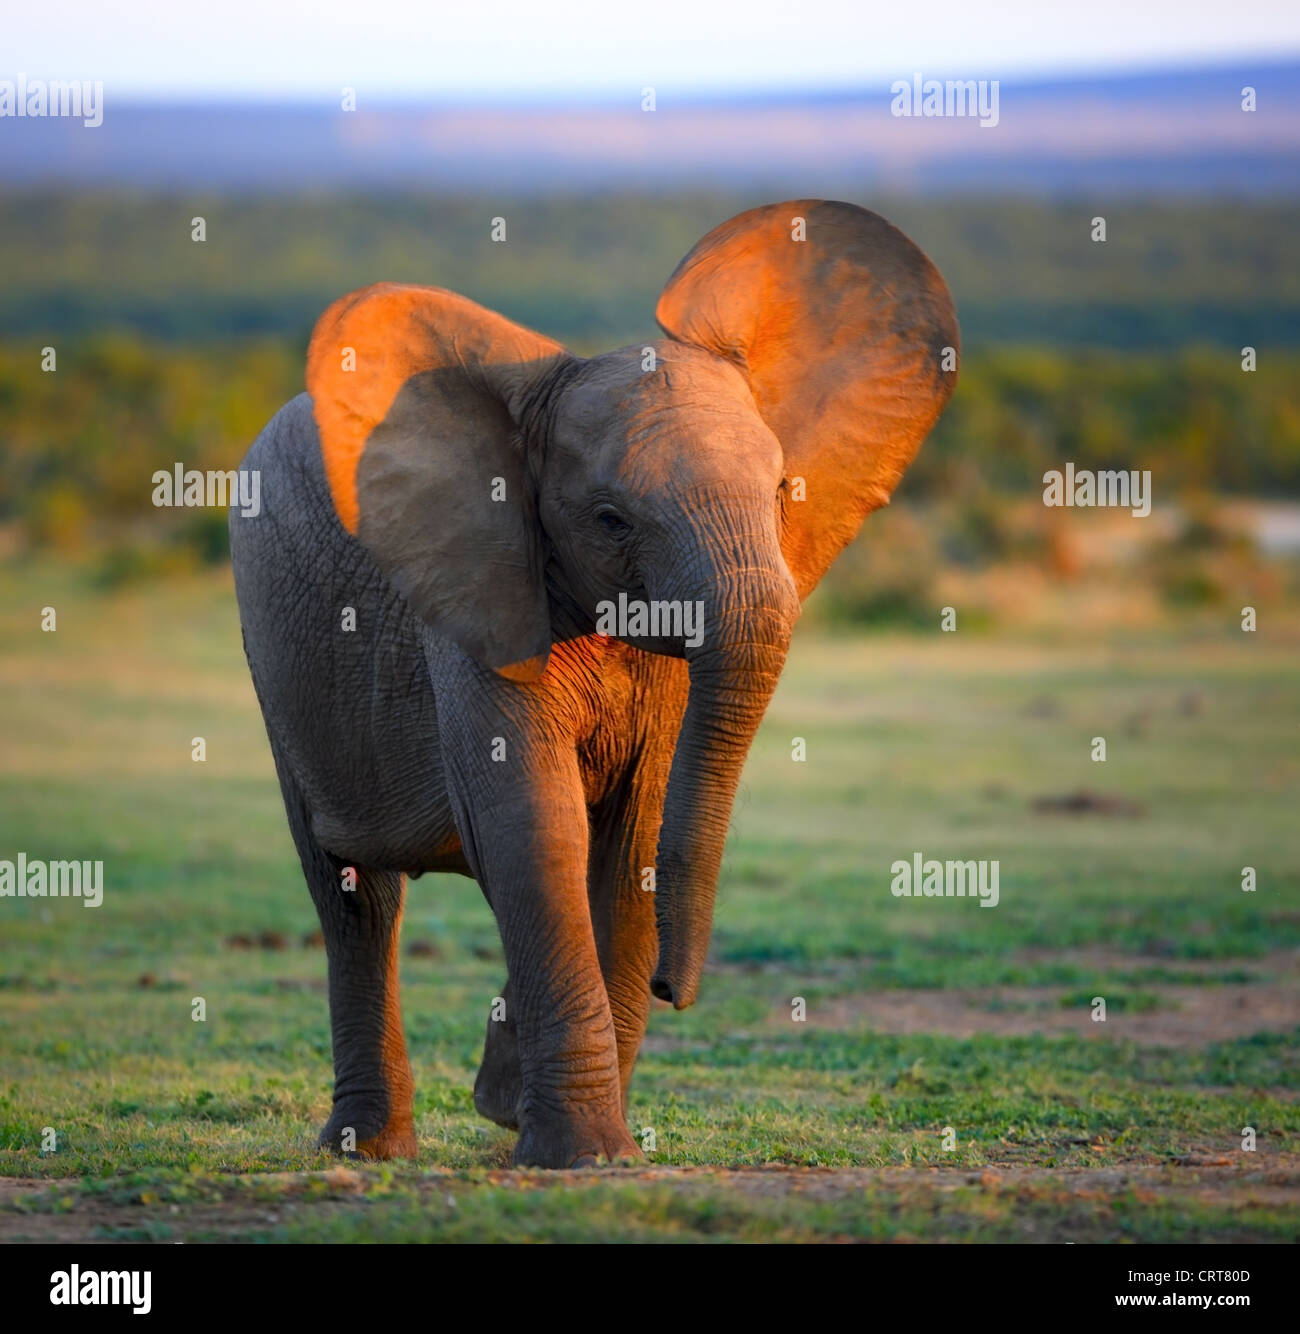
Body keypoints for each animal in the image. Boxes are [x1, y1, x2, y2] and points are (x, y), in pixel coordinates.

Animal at [226, 197, 954, 1168]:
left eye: (781, 491)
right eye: (610, 519)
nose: (676, 989)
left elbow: (635, 836)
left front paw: (532, 1117)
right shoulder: (472, 591)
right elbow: (534, 825)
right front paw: (585, 1156)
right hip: (275, 651)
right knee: (353, 894)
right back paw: (365, 1149)